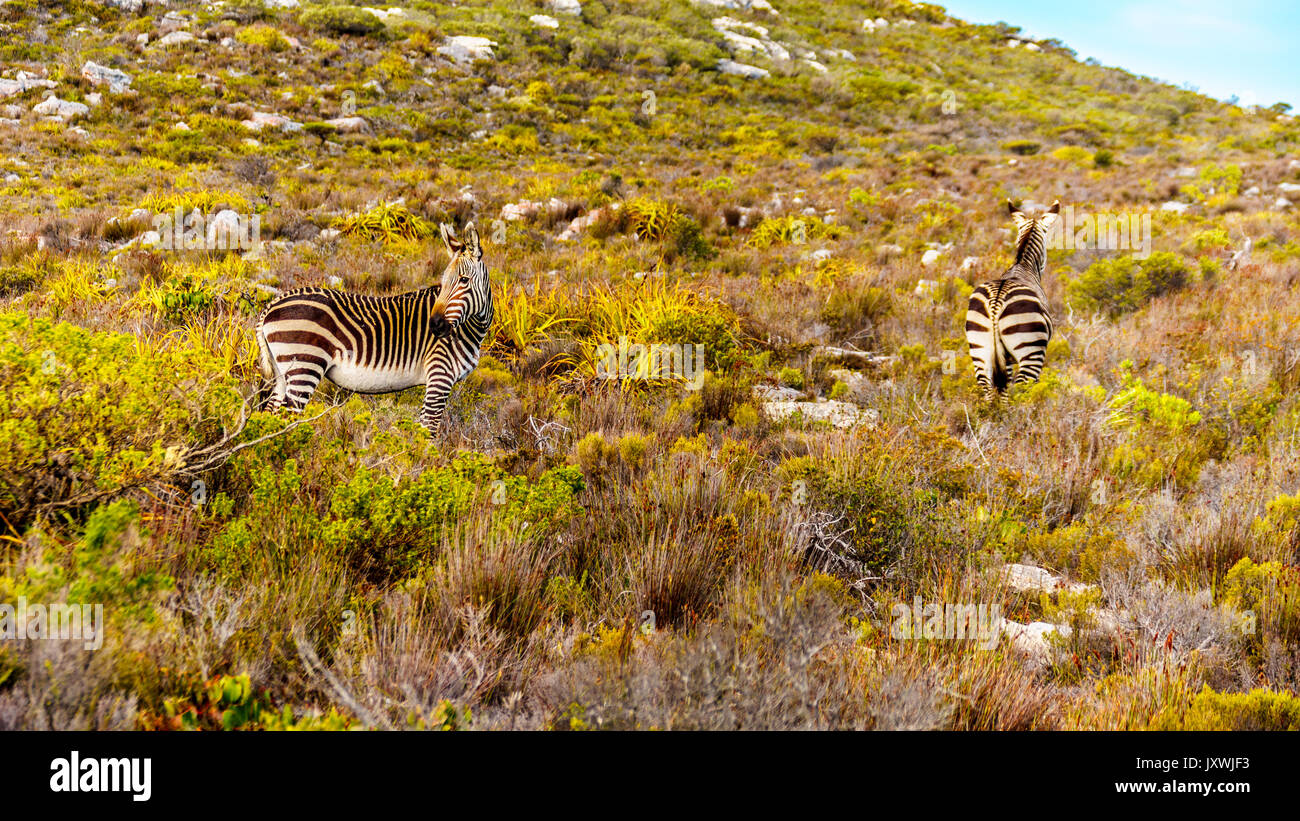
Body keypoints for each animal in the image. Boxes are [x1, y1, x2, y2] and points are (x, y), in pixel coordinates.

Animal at [255, 222, 494, 434]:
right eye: (443, 282)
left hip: (281, 373)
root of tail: (272, 304)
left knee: (270, 416)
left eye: (464, 280)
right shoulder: (439, 376)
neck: (470, 327)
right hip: (304, 366)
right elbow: (428, 434)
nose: (435, 325)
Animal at [965, 200, 1060, 401]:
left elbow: (1003, 392)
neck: (1022, 266)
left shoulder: (1004, 360)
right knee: (1023, 393)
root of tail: (995, 304)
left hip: (980, 352)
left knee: (988, 393)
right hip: (1031, 351)